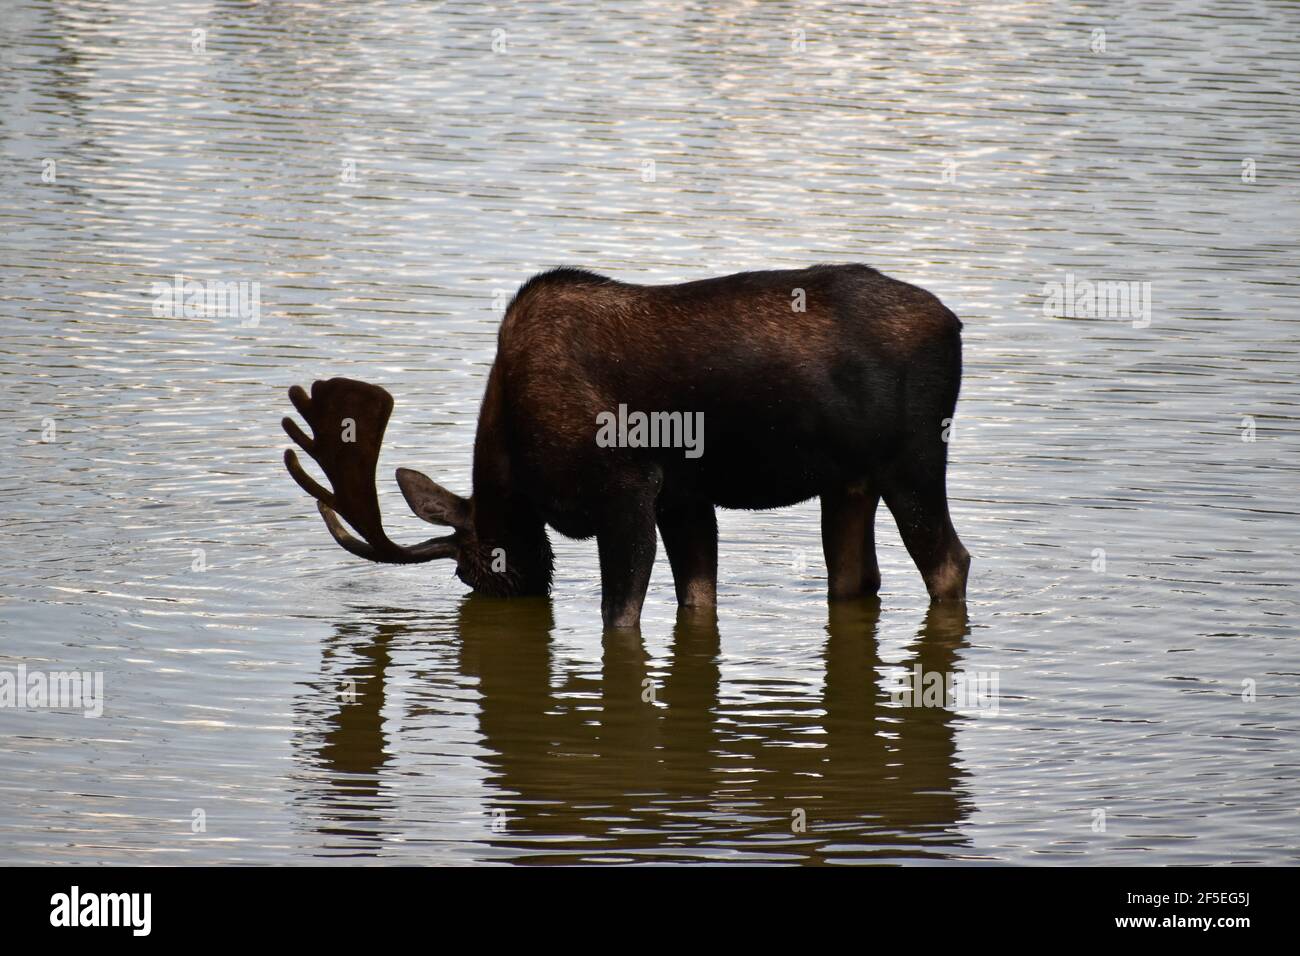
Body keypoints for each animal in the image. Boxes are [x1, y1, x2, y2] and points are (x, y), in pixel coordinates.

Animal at [282, 264, 970, 629]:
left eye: (472, 572)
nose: (522, 600)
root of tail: (955, 324)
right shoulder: (685, 496)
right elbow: (696, 600)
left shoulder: (626, 491)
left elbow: (619, 617)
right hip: (848, 481)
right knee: (857, 577)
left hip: (912, 460)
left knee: (949, 562)